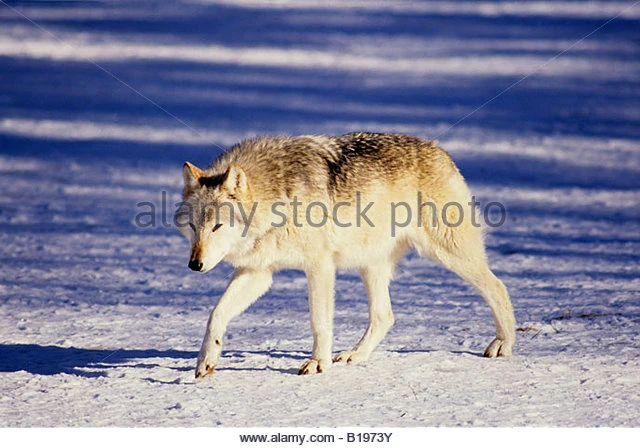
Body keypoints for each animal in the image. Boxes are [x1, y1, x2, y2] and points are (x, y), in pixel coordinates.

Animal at [178, 132, 516, 378]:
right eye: (194, 226)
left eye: (218, 226)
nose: (195, 265)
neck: (277, 196)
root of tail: (441, 151)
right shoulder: (258, 273)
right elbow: (216, 314)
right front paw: (206, 361)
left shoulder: (320, 266)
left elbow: (319, 321)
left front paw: (318, 364)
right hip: (371, 265)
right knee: (384, 316)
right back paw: (356, 355)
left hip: (448, 254)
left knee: (498, 286)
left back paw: (503, 344)